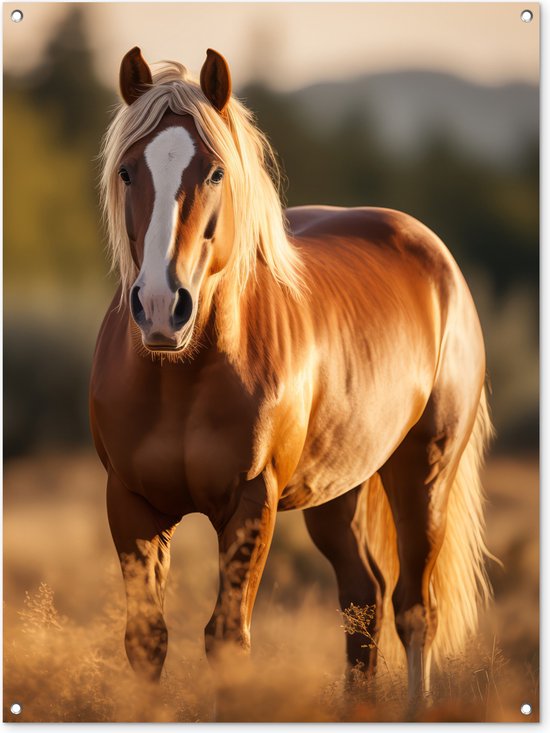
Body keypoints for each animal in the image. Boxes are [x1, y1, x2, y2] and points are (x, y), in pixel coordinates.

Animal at [90, 46, 493, 708]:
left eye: (215, 173)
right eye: (127, 171)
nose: (159, 306)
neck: (180, 378)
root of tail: (436, 258)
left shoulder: (253, 501)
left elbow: (227, 639)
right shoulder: (131, 502)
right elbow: (146, 641)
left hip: (423, 474)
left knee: (415, 610)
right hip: (338, 491)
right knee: (363, 601)